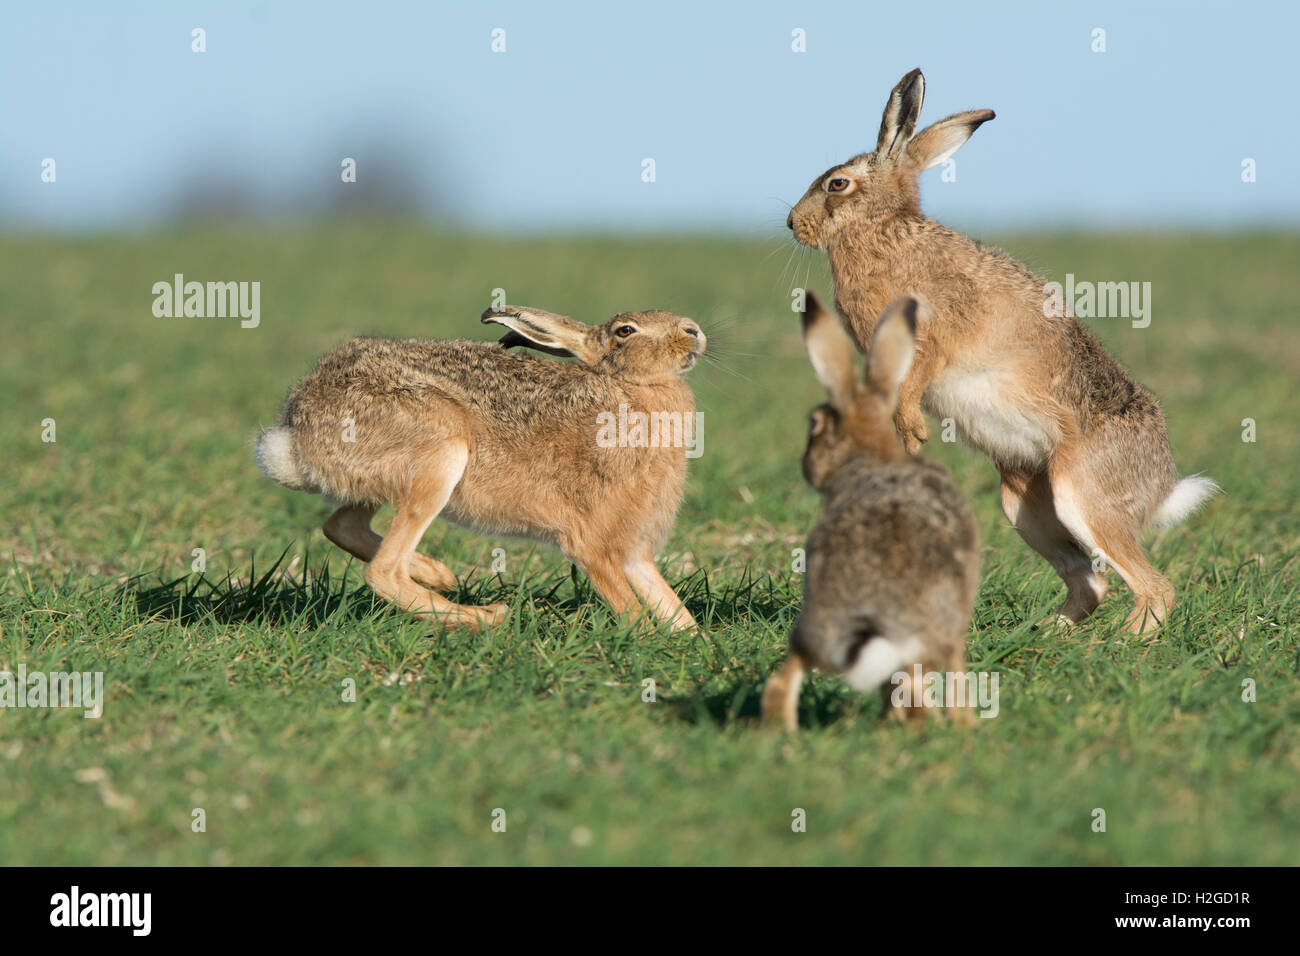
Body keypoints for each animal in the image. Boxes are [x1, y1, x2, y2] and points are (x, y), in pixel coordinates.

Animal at [254, 303, 705, 632]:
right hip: (439, 458)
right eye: (625, 331)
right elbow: (630, 607)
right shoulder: (592, 543)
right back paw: (488, 616)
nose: (693, 330)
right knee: (384, 572)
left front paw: (693, 639)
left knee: (342, 525)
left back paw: (440, 574)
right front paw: (647, 636)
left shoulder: (634, 551)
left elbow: (668, 603)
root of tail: (297, 430)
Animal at [761, 292, 981, 732]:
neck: (872, 455)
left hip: (814, 629)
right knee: (921, 695)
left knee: (785, 679)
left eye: (813, 424)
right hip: (933, 637)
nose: (806, 466)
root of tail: (873, 618)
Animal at [785, 68, 1218, 634]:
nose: (793, 223)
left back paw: (1122, 642)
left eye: (837, 184)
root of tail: (1159, 487)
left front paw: (913, 432)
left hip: (1082, 496)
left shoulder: (932, 335)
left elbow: (918, 377)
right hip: (1026, 506)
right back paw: (1052, 635)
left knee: (1153, 586)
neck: (881, 229)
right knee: (1089, 579)